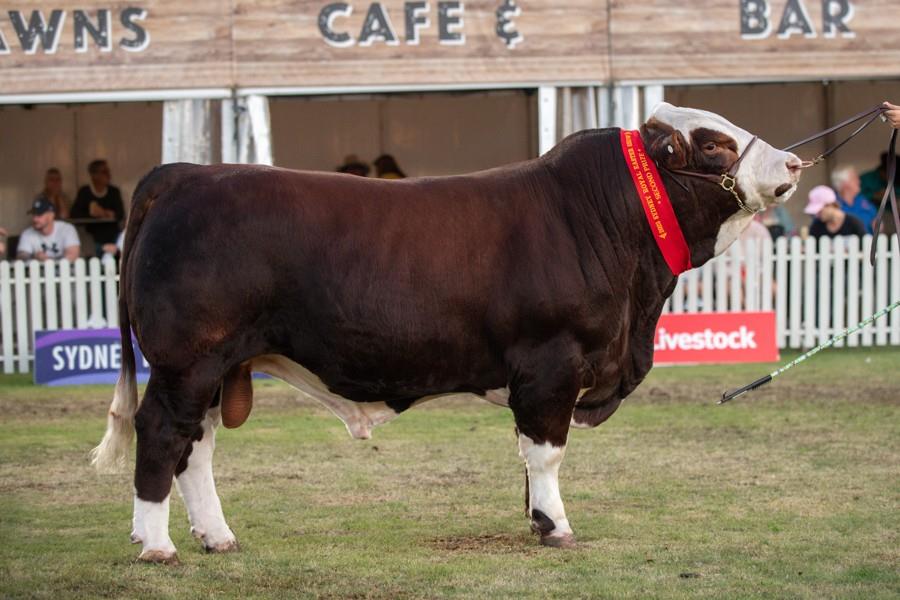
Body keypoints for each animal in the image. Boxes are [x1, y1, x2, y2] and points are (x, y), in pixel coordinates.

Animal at [92, 103, 802, 563]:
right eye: (712, 144)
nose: (794, 162)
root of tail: (186, 173)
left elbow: (528, 456)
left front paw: (537, 520)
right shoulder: (551, 364)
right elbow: (546, 453)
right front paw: (555, 527)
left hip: (219, 367)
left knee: (198, 445)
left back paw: (216, 536)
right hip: (188, 362)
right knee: (163, 434)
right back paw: (156, 544)